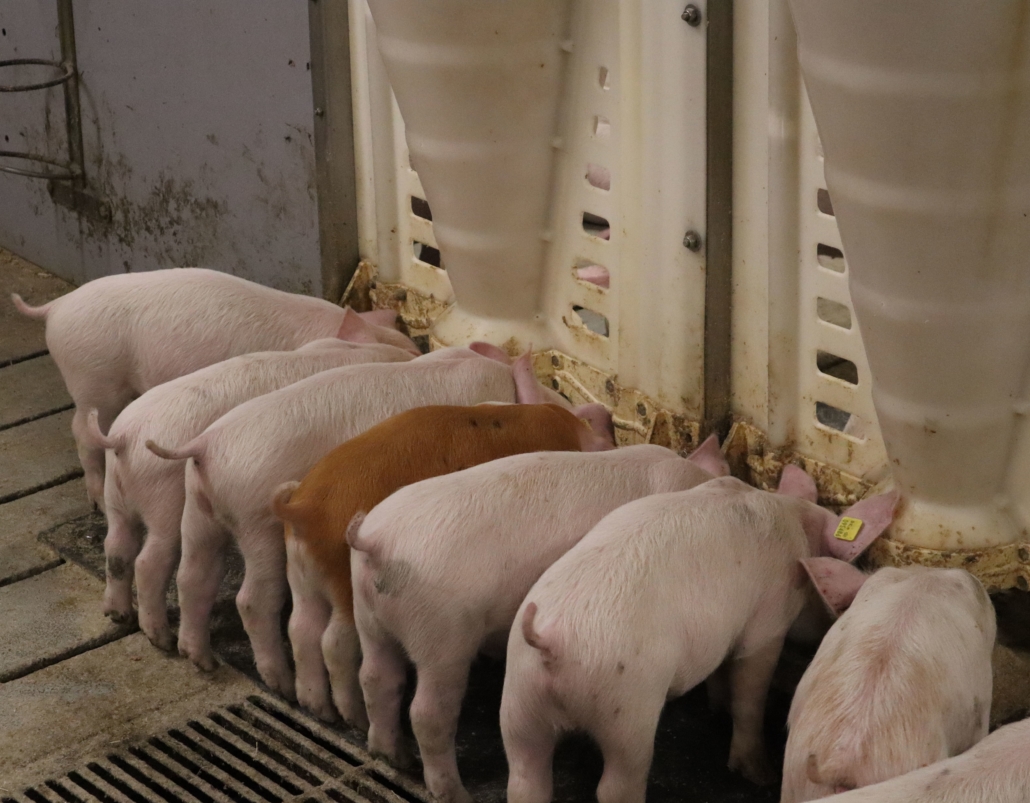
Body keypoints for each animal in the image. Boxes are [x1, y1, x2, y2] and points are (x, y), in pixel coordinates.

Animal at [86, 338, 415, 652]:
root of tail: (123, 436)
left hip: (131, 499)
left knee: (121, 549)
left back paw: (126, 619)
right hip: (172, 502)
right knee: (153, 560)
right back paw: (163, 641)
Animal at [147, 345, 599, 701]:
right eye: (554, 392)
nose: (591, 421)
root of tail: (204, 444)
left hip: (199, 512)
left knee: (192, 575)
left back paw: (195, 657)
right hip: (256, 526)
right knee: (254, 601)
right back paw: (281, 685)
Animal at [273, 402, 615, 725]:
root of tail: (306, 511)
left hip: (301, 575)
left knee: (300, 628)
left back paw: (315, 706)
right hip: (344, 585)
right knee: (334, 643)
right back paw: (352, 718)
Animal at [348, 437, 731, 803]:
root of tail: (375, 541)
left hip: (368, 616)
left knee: (375, 677)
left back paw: (391, 756)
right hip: (443, 636)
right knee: (427, 713)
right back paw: (456, 794)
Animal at [501, 474, 896, 803]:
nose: (829, 623)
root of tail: (549, 641)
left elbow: (719, 673)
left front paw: (717, 708)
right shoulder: (766, 624)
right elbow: (749, 697)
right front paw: (760, 774)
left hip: (520, 697)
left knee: (525, 776)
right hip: (627, 707)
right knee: (615, 786)